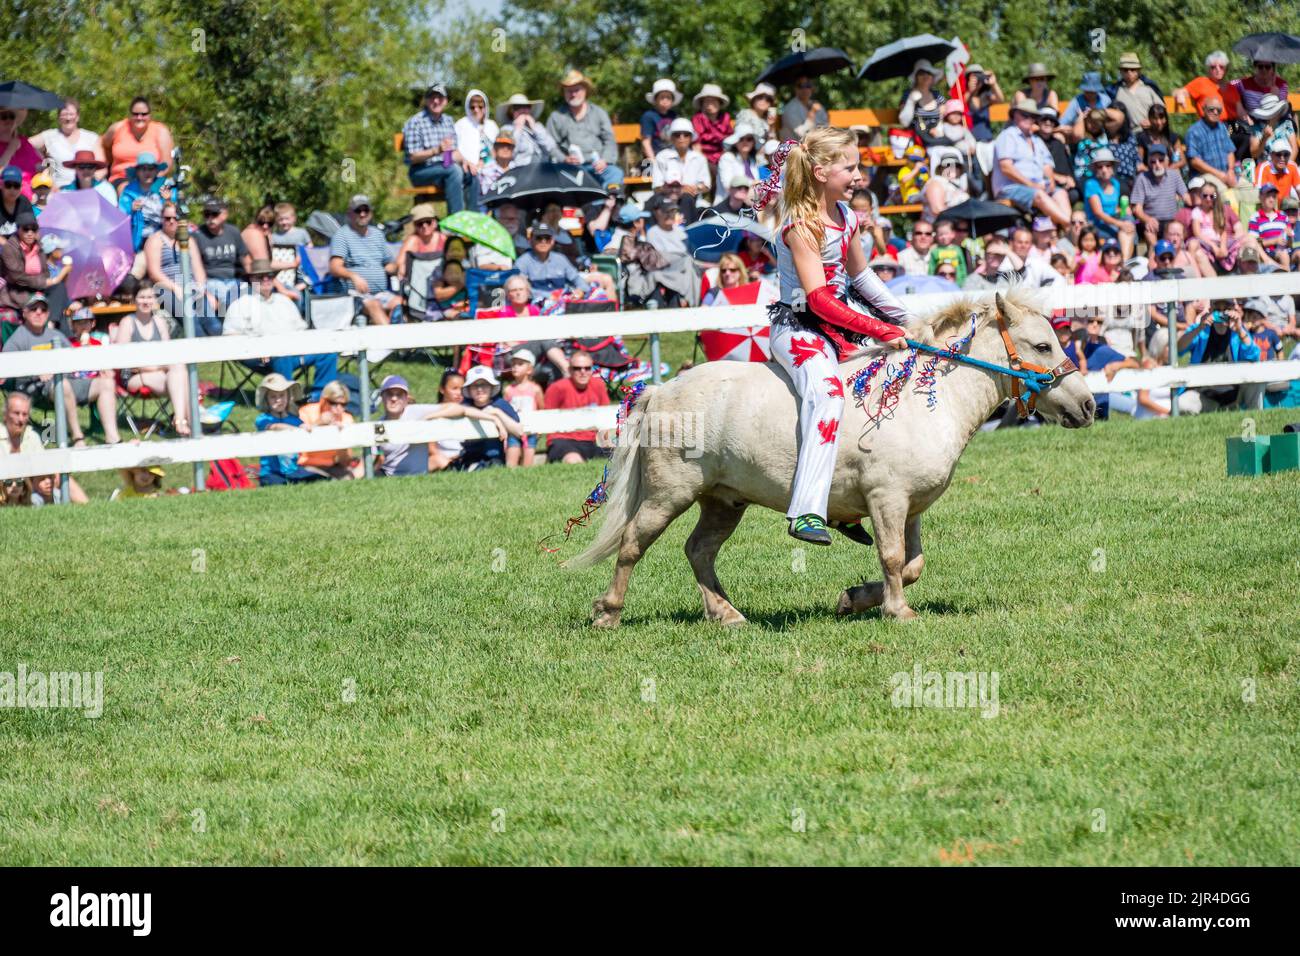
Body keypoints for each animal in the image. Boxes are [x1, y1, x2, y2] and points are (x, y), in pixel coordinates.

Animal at [565, 289, 1096, 625]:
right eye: (1042, 344)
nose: (1088, 405)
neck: (926, 398)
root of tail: (662, 390)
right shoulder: (886, 499)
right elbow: (892, 557)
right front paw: (897, 612)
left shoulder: (911, 508)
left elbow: (912, 565)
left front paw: (854, 599)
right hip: (667, 495)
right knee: (633, 545)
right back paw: (608, 612)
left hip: (723, 501)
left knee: (699, 551)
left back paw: (726, 614)